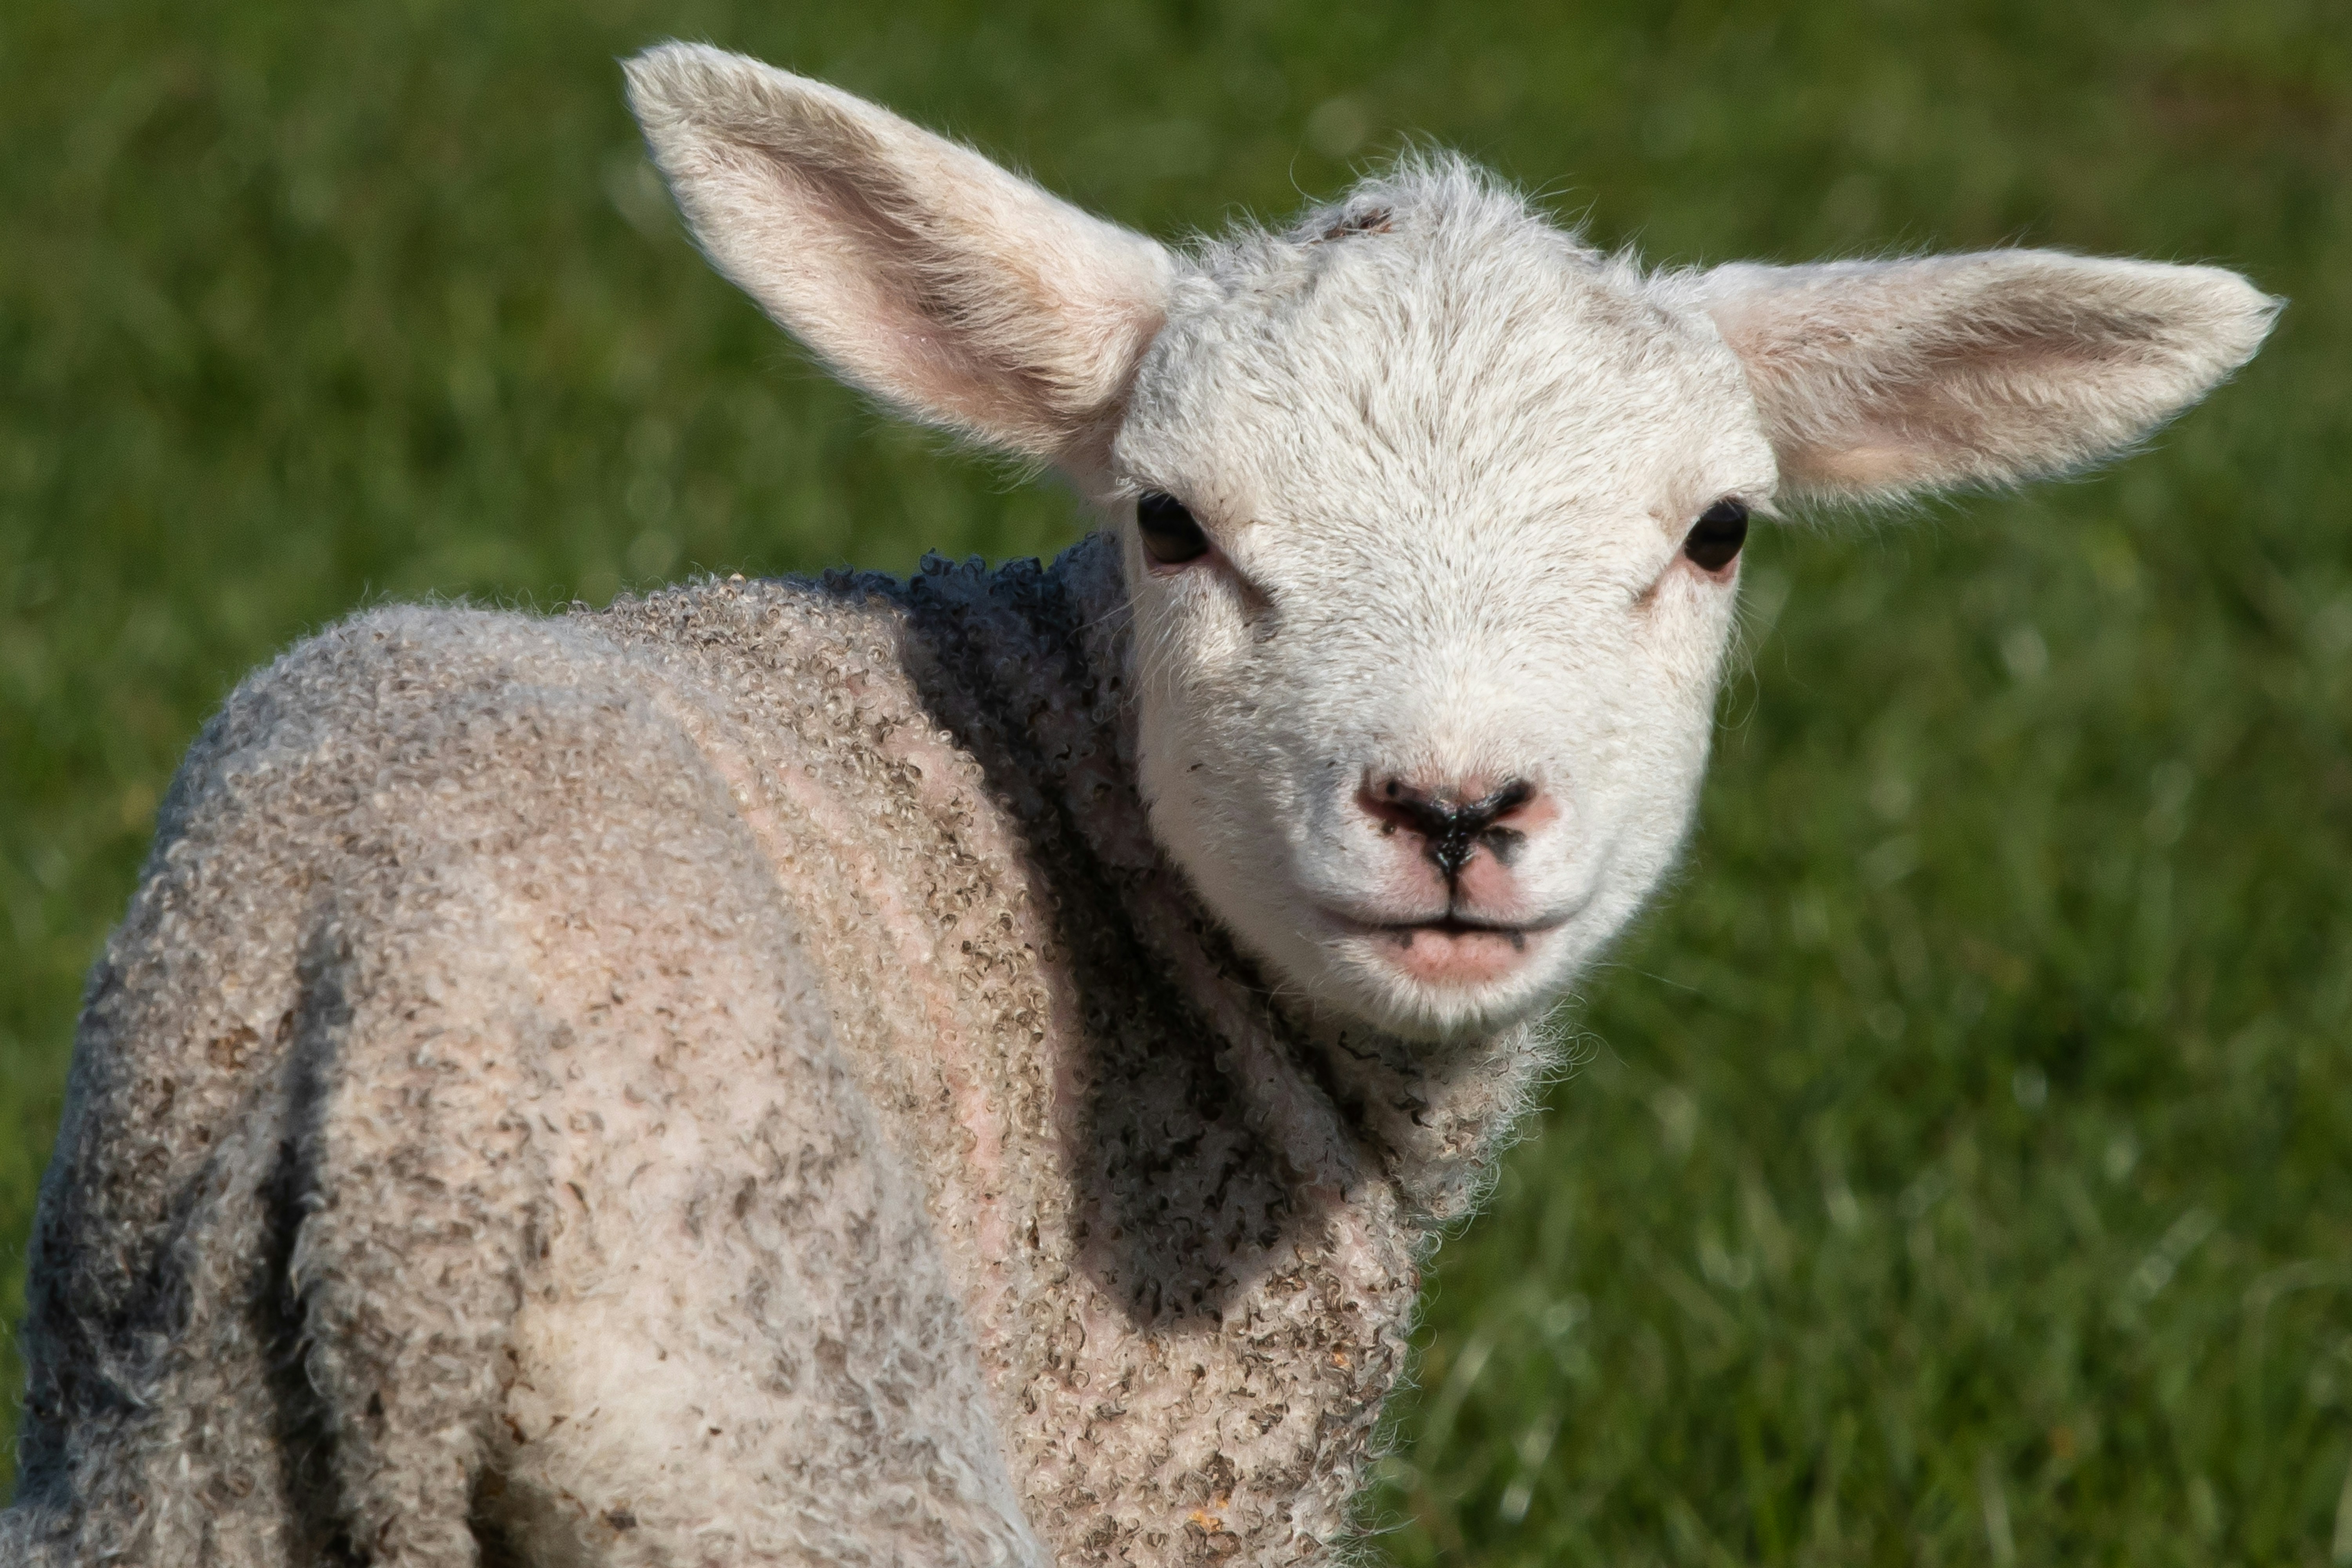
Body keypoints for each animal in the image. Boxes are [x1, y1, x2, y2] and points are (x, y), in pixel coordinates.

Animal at [2, 41, 2275, 1568]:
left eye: (1716, 534)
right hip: (789, 1431)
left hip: (169, 1449)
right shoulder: (1196, 1466)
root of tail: (420, 1126)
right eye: (1172, 525)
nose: (1455, 806)